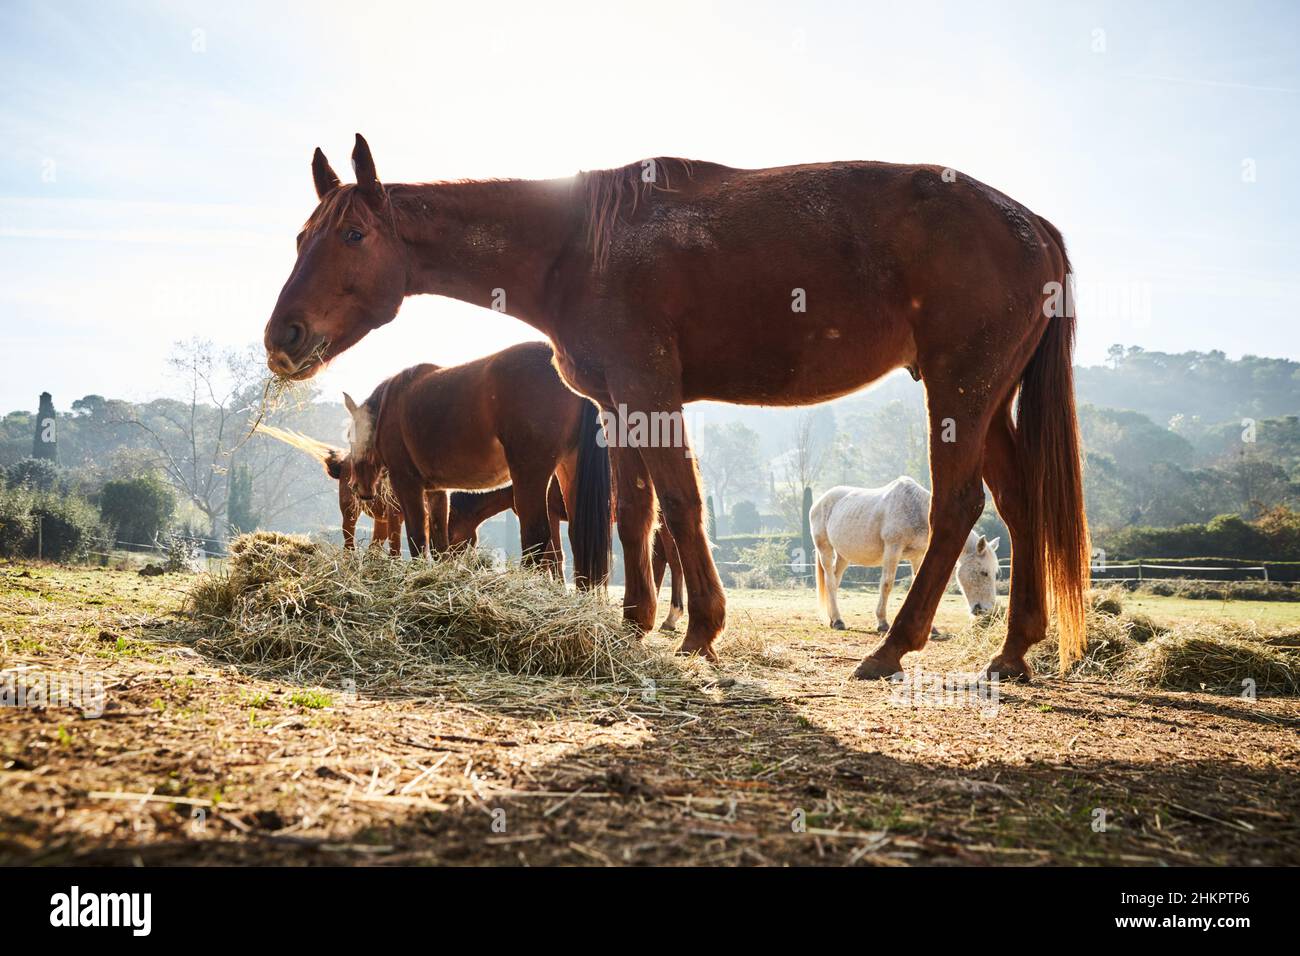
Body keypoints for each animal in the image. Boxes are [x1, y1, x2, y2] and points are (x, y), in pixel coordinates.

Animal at [344, 341, 612, 587]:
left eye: (349, 435)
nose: (356, 487)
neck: (390, 405)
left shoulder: (407, 485)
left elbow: (417, 538)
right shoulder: (437, 492)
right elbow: (438, 543)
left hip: (530, 476)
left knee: (536, 536)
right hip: (567, 473)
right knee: (576, 537)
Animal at [810, 477, 999, 634]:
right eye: (984, 573)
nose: (986, 609)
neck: (917, 510)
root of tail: (820, 501)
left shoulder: (918, 556)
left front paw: (930, 629)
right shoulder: (893, 549)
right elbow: (886, 584)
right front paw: (882, 623)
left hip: (843, 556)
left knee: (834, 582)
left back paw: (833, 618)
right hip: (825, 549)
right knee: (830, 581)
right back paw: (838, 621)